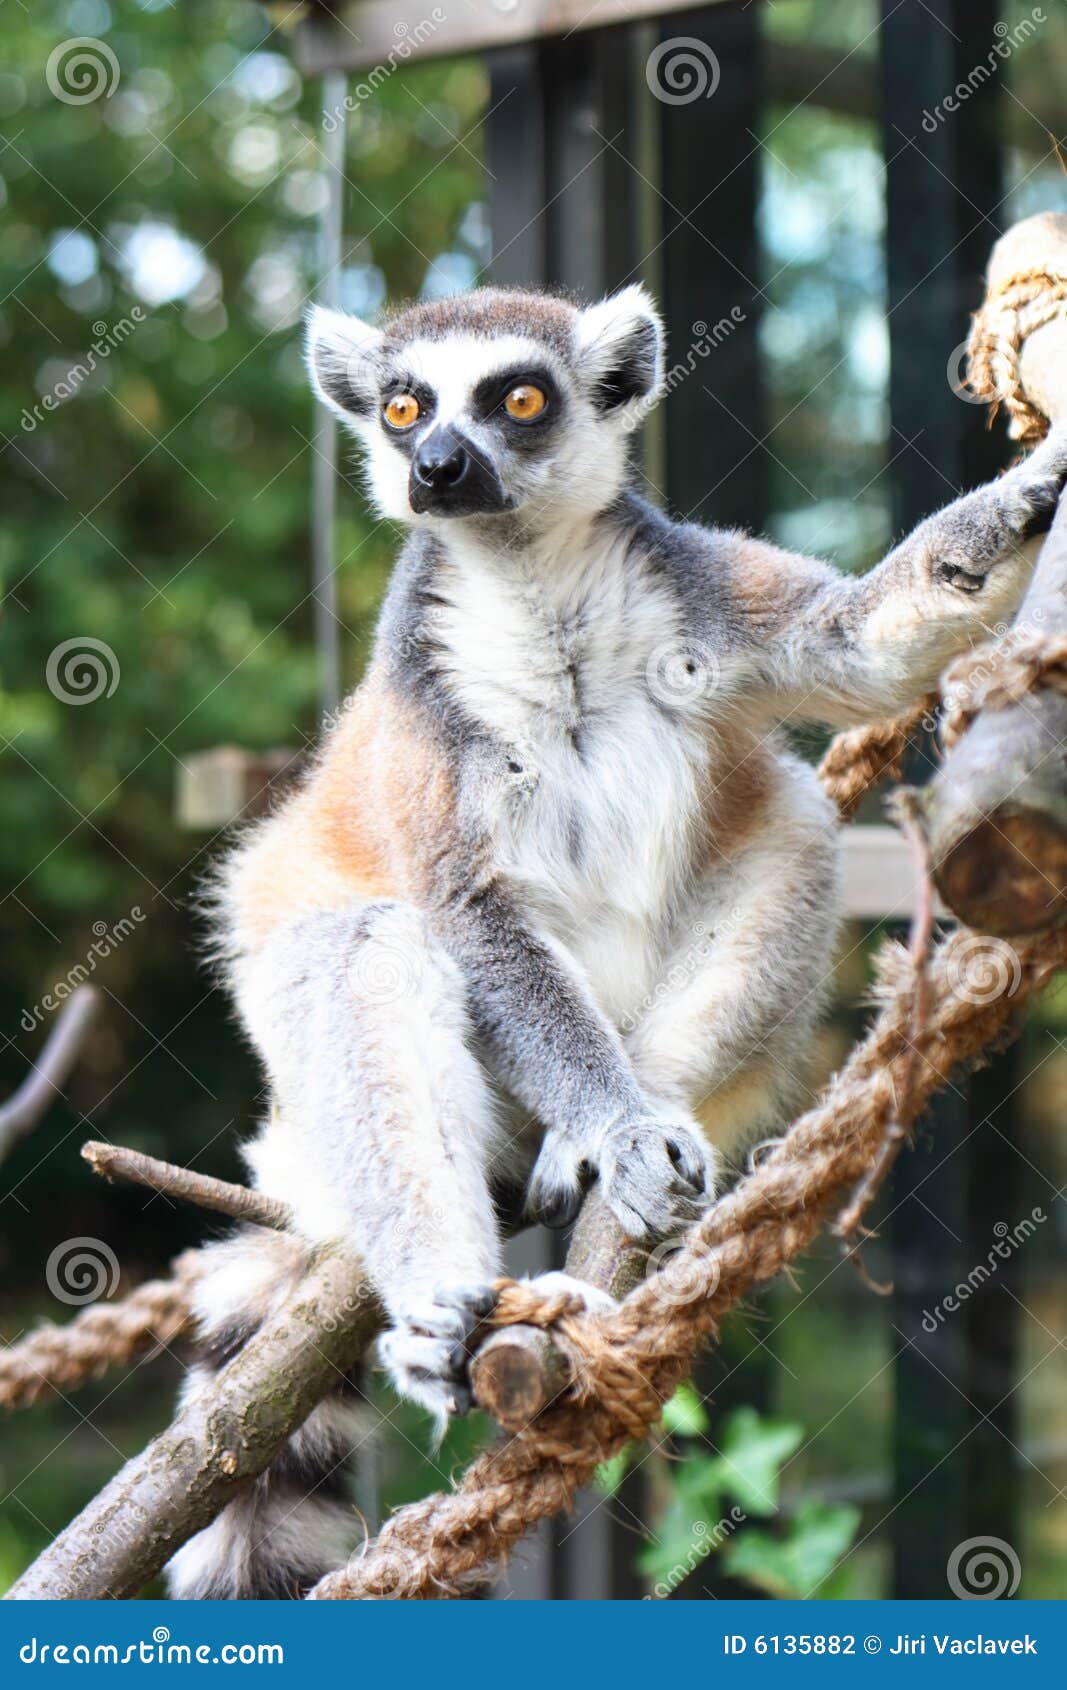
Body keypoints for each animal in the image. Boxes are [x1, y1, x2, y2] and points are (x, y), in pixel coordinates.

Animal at [166, 283, 1067, 1598]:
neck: (531, 586)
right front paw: (611, 1126)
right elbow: (465, 910)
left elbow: (857, 643)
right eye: (403, 407)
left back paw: (645, 1134)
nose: (435, 469)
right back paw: (454, 1293)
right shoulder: (423, 707)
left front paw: (1025, 494)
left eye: (516, 399)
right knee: (364, 952)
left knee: (791, 832)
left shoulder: (688, 585)